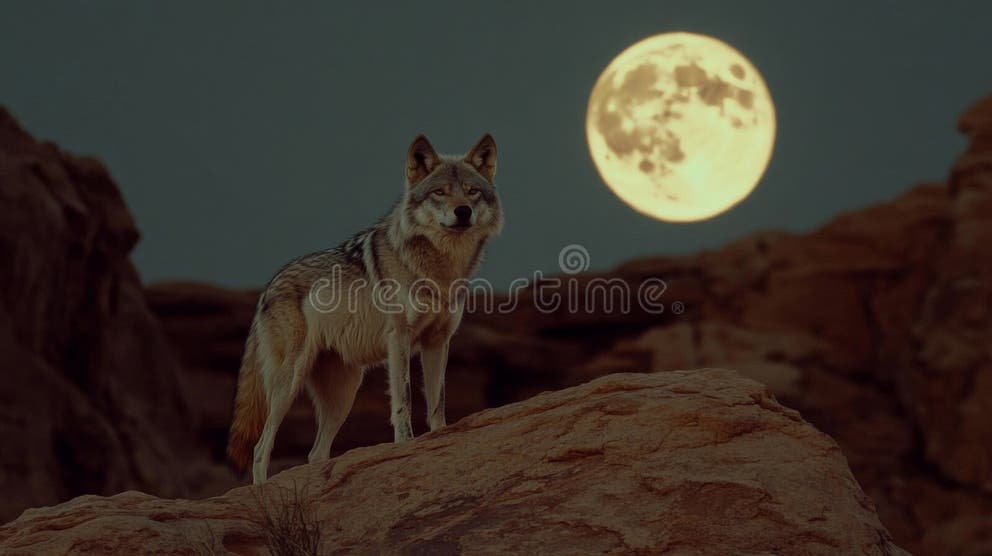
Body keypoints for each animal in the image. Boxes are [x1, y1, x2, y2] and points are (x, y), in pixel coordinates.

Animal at [226, 134, 503, 484]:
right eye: (439, 192)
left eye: (471, 191)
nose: (463, 211)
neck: (439, 269)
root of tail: (268, 285)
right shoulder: (399, 338)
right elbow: (404, 400)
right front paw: (405, 444)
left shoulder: (438, 341)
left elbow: (437, 401)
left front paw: (439, 438)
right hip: (289, 384)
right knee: (261, 447)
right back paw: (262, 488)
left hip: (344, 395)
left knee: (315, 453)